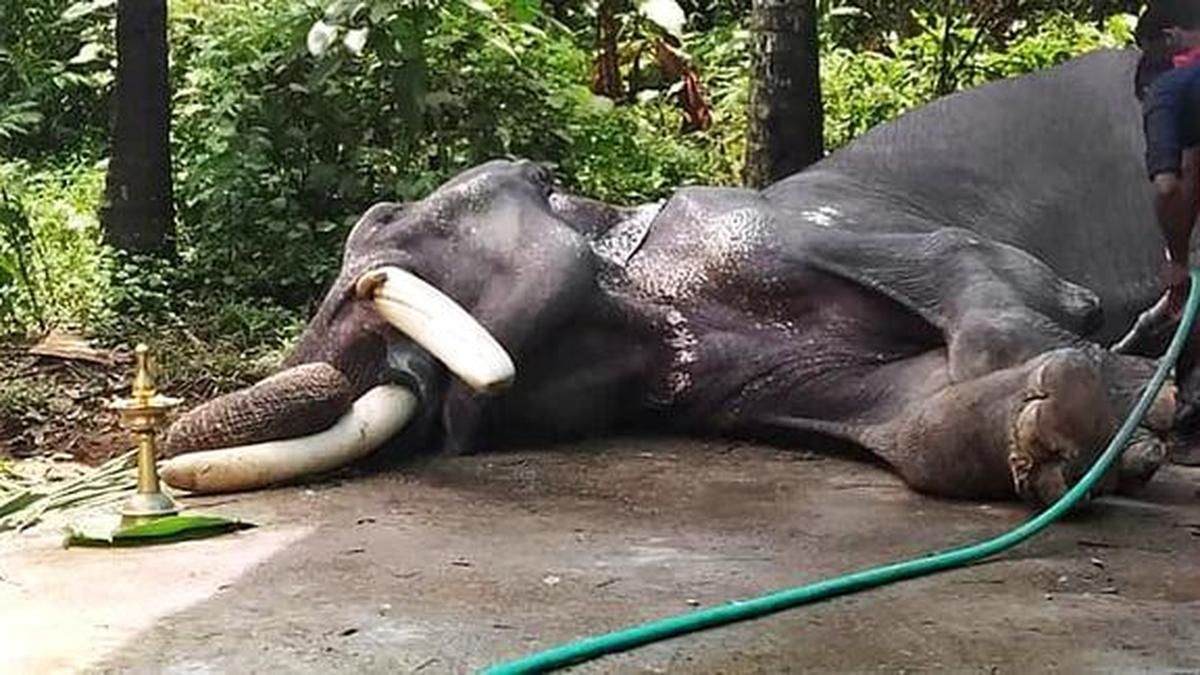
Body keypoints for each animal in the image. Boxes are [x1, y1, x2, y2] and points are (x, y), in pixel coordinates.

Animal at [160, 48, 1194, 506]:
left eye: (380, 229)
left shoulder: (809, 225)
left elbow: (996, 280)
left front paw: (1141, 403)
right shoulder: (748, 381)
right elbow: (911, 424)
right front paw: (1076, 432)